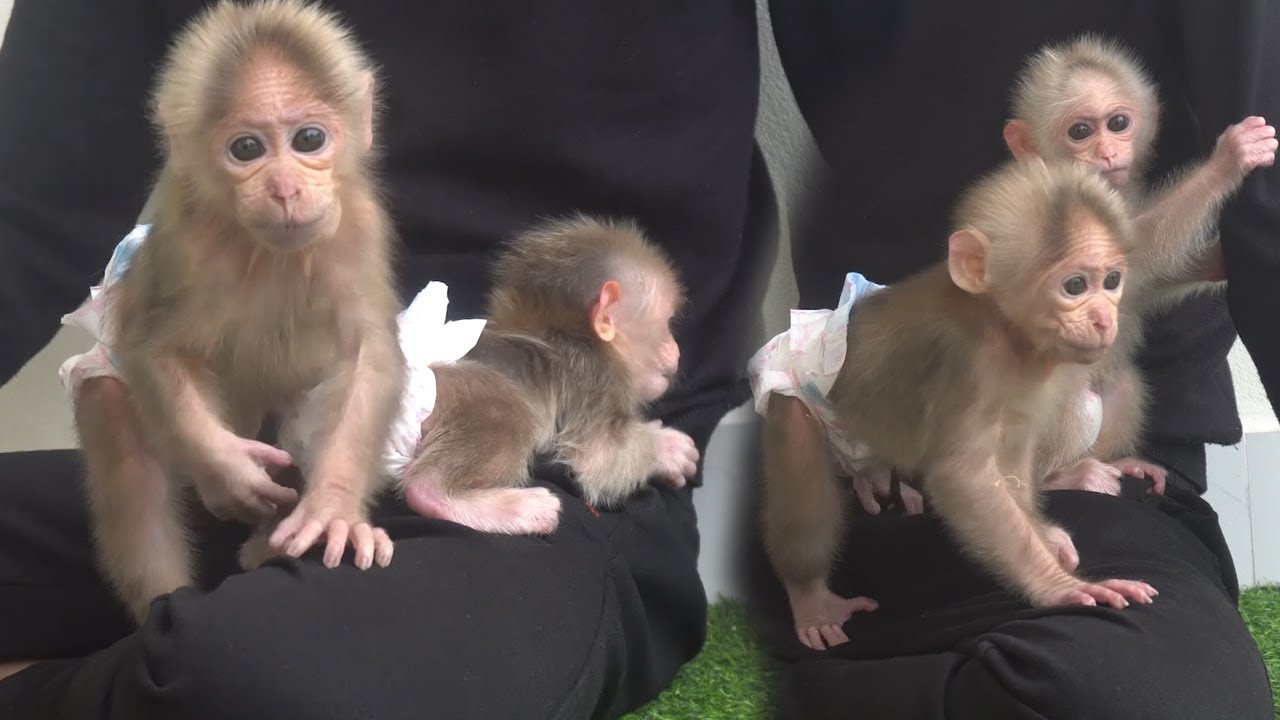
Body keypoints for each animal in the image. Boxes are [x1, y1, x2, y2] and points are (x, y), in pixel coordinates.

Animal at [61, 0, 406, 624]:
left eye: (309, 139)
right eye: (247, 149)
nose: (286, 188)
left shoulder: (359, 225)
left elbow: (368, 356)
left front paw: (335, 509)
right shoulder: (187, 241)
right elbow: (157, 349)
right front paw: (227, 469)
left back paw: (268, 545)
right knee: (125, 449)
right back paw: (164, 605)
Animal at [396, 214, 700, 536]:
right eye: (667, 325)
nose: (676, 350)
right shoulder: (596, 378)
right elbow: (599, 459)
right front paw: (668, 448)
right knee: (502, 414)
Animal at [758, 158, 1160, 651]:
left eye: (1112, 281)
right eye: (1075, 285)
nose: (1105, 318)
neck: (1003, 326)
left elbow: (1011, 462)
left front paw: (1045, 537)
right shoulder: (970, 365)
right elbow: (963, 477)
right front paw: (1061, 587)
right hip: (790, 391)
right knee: (800, 459)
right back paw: (810, 596)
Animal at [1002, 34, 1276, 497]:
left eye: (1117, 123)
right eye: (1080, 132)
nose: (1108, 152)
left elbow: (1142, 280)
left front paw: (1216, 260)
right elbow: (1128, 257)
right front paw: (1227, 161)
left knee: (1122, 383)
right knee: (1068, 384)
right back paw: (1059, 478)